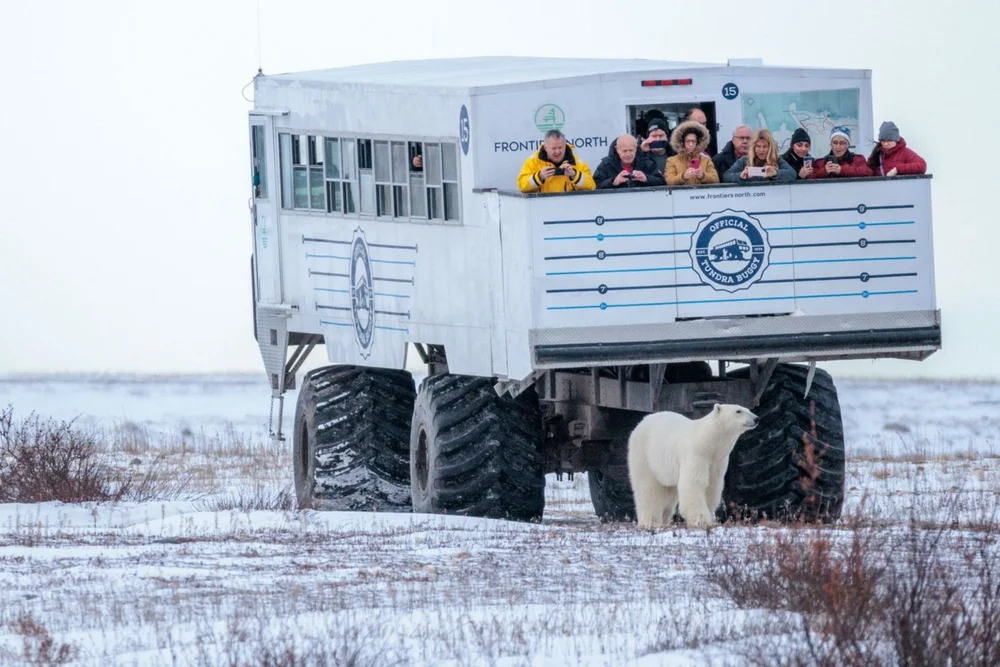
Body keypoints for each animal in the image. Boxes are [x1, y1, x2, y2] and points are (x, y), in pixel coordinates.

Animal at [627, 403, 758, 528]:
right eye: (738, 411)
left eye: (748, 409)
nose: (756, 418)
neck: (709, 442)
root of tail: (642, 422)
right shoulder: (696, 453)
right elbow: (694, 483)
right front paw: (702, 521)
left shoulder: (718, 460)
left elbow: (712, 485)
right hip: (644, 454)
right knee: (648, 488)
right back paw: (651, 521)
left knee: (668, 491)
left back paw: (664, 520)